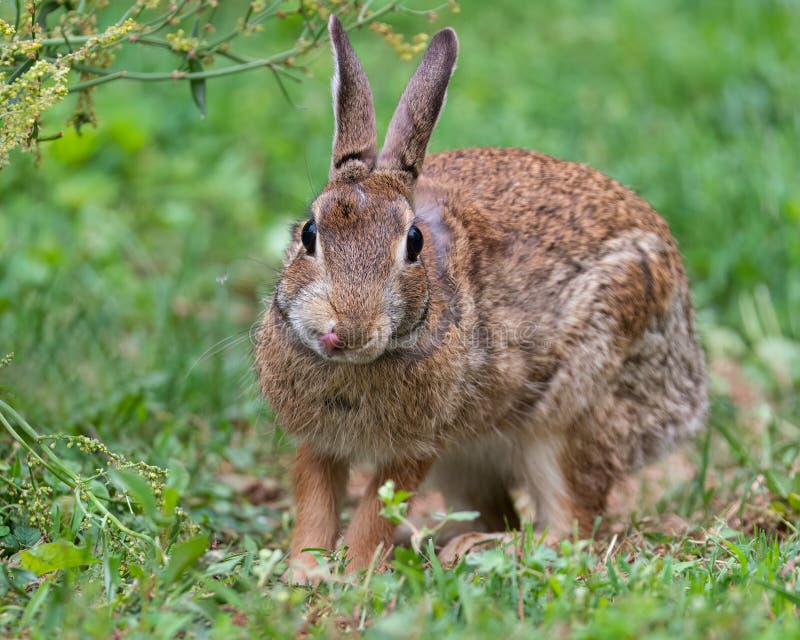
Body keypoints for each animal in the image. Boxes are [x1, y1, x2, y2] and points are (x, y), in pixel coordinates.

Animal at [255, 15, 707, 577]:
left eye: (413, 243)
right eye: (310, 233)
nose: (349, 330)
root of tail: (689, 395)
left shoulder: (418, 444)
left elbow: (375, 511)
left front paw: (355, 573)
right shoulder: (319, 440)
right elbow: (316, 503)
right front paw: (306, 573)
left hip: (569, 414)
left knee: (570, 527)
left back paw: (477, 550)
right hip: (466, 462)